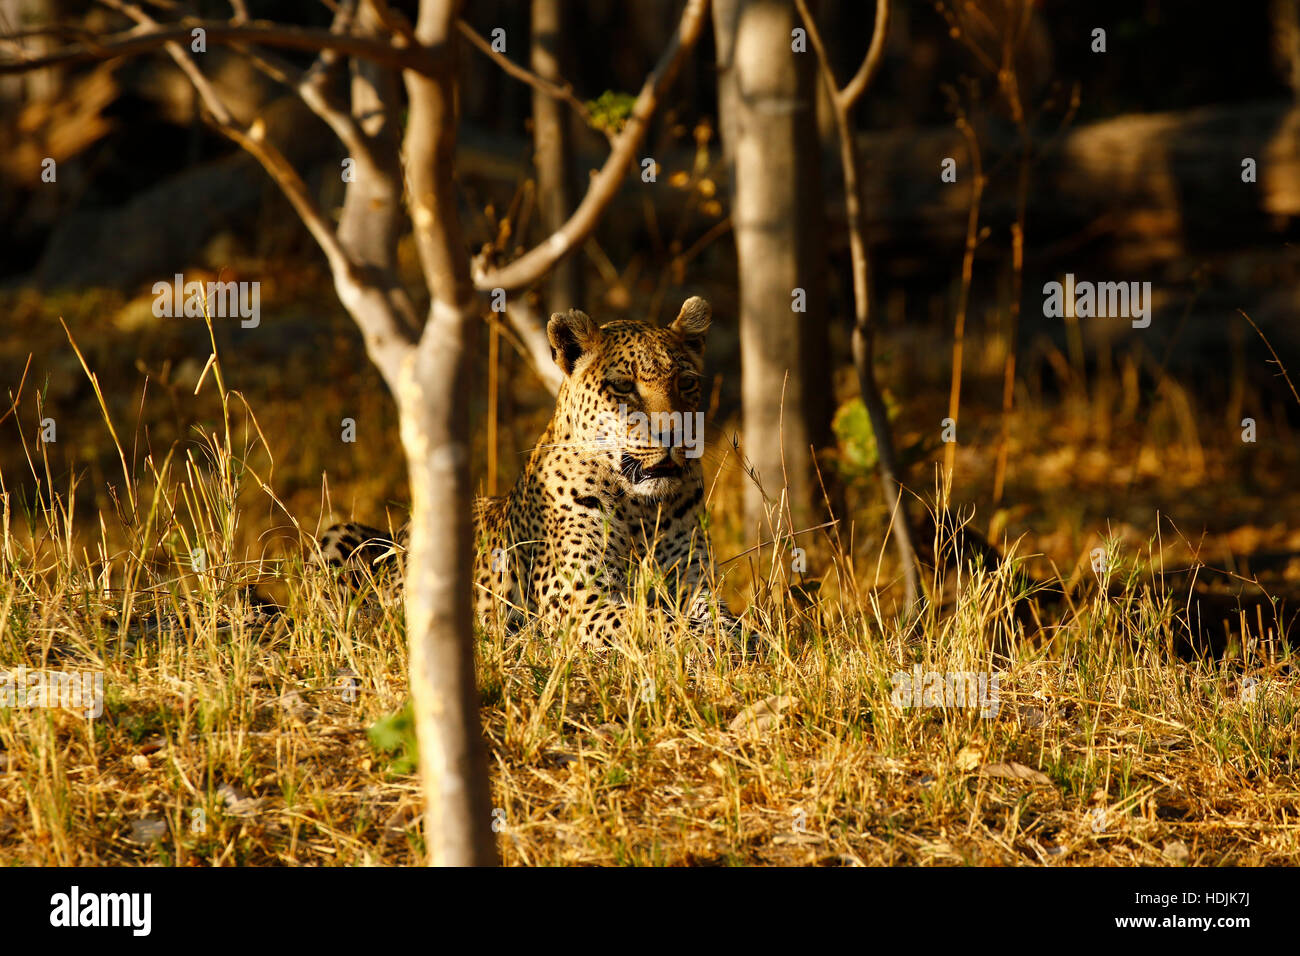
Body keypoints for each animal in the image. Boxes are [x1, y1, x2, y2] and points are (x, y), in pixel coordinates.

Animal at [315, 296, 746, 647]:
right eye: (624, 387)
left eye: (686, 382)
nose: (677, 434)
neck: (642, 508)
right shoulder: (577, 598)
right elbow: (657, 623)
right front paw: (708, 643)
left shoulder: (693, 580)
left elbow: (720, 615)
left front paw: (739, 635)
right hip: (340, 536)